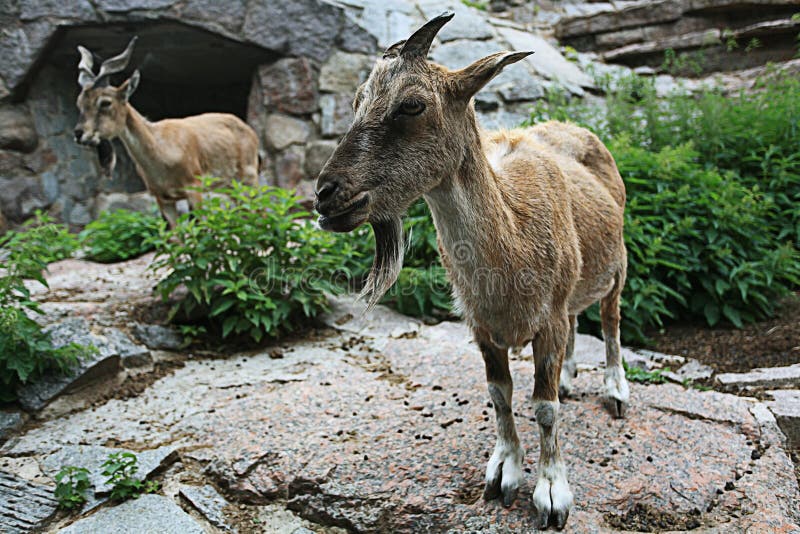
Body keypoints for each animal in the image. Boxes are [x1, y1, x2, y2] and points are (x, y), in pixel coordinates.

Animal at [74, 37, 260, 227]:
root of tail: (248, 131)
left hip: (249, 181)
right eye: (80, 102)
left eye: (105, 102)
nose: (79, 133)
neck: (161, 149)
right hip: (231, 188)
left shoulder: (194, 188)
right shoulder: (164, 199)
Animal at [314, 12, 629, 530]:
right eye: (358, 101)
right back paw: (570, 377)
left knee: (610, 321)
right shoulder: (481, 325)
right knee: (579, 320)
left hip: (617, 264)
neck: (511, 247)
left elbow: (544, 407)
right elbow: (500, 394)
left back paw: (616, 390)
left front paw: (551, 493)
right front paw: (504, 472)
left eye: (412, 104)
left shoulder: (547, 321)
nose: (326, 195)